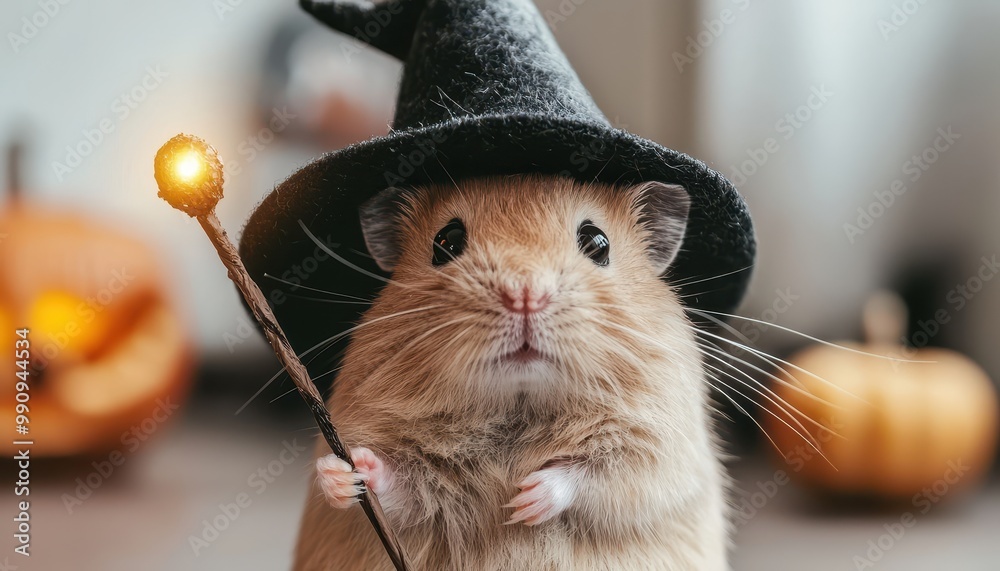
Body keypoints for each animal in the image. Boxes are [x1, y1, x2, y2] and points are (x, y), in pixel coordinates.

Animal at [292, 174, 729, 570]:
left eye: (598, 243)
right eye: (446, 242)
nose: (524, 295)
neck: (517, 406)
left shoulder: (660, 452)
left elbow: (594, 476)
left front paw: (522, 501)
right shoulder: (417, 484)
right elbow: (398, 487)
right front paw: (344, 472)